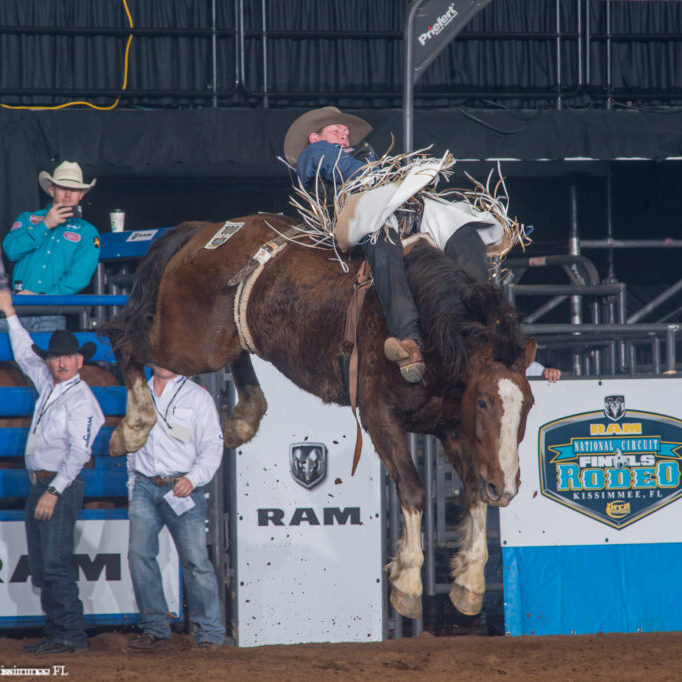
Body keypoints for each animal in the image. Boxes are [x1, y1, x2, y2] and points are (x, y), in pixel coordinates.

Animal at [102, 214, 536, 620]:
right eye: (483, 401)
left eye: (529, 404)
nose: (506, 488)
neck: (429, 331)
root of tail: (203, 232)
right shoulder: (380, 417)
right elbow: (413, 490)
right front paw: (408, 582)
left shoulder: (452, 429)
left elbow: (474, 491)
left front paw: (470, 581)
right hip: (187, 345)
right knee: (124, 341)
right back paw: (133, 427)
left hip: (219, 339)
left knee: (236, 351)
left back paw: (244, 417)